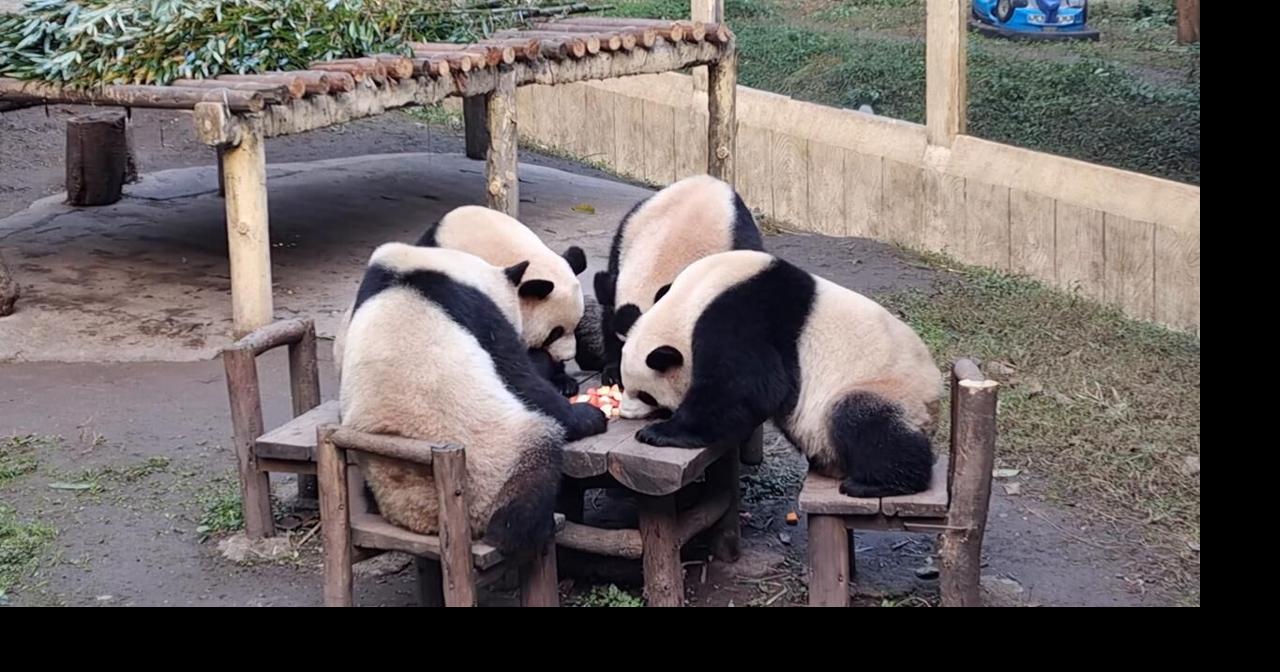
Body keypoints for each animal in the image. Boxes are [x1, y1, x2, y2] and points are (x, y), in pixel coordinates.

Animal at [339, 243, 607, 555]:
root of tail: (422, 515)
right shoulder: (477, 311)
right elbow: (519, 376)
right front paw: (588, 416)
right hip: (495, 462)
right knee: (535, 475)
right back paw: (519, 533)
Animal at [617, 250, 941, 498]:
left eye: (645, 394)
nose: (625, 412)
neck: (695, 296)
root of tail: (934, 405)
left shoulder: (741, 320)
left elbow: (746, 387)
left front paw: (659, 432)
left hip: (888, 387)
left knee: (863, 421)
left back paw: (877, 484)